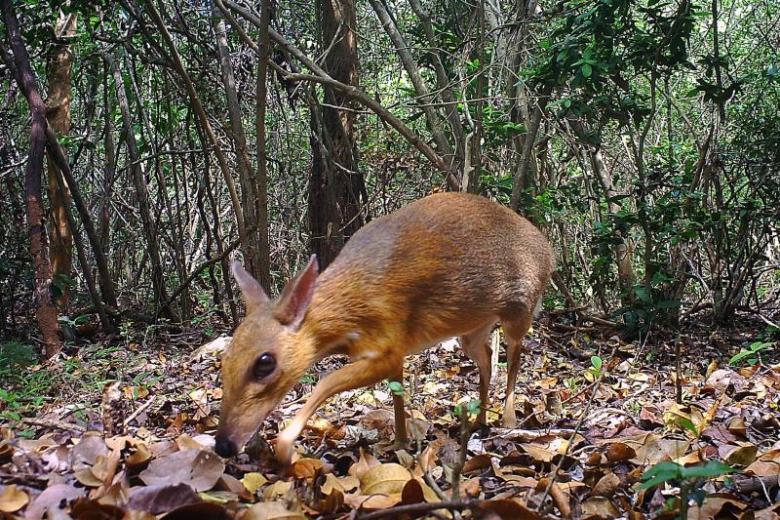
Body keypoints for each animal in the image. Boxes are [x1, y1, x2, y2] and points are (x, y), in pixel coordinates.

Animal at [214, 192, 555, 464]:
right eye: (224, 360)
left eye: (264, 363)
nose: (223, 445)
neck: (351, 307)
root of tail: (549, 250)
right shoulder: (395, 351)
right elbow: (396, 394)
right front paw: (401, 442)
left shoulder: (388, 343)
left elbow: (326, 382)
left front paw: (286, 449)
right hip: (472, 328)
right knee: (485, 356)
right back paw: (478, 420)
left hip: (520, 308)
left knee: (514, 357)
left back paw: (507, 419)